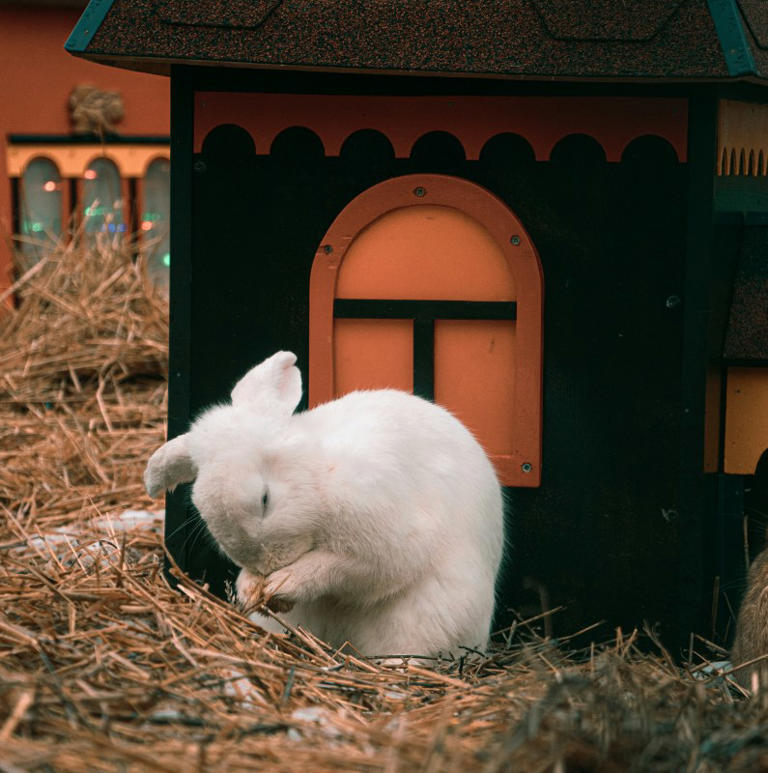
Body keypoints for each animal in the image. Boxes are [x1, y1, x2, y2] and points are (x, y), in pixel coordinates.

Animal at [145, 350, 505, 660]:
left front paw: (282, 583)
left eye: (265, 498)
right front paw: (250, 588)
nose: (267, 564)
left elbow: (334, 569)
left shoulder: (378, 547)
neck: (320, 477)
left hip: (421, 621)